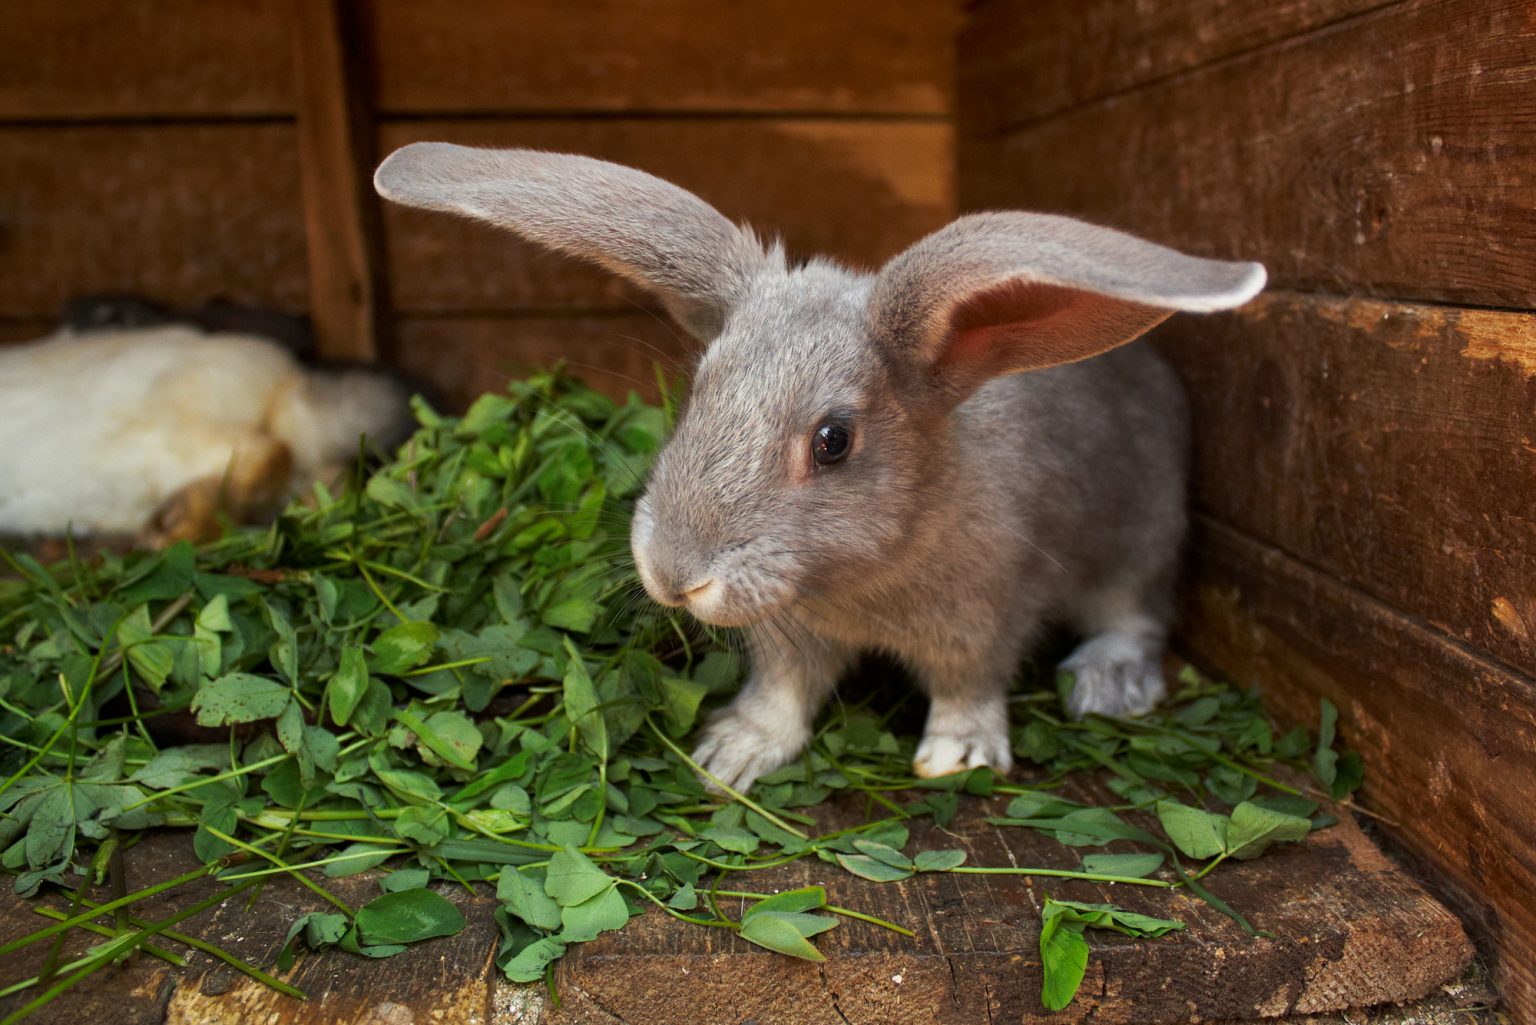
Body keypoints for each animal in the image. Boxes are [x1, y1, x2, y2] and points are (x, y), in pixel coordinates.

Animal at [375, 143, 1265, 789]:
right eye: (698, 389)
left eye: (833, 439)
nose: (673, 574)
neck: (861, 577)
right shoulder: (790, 638)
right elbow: (785, 694)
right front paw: (728, 755)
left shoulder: (985, 619)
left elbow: (969, 688)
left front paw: (956, 758)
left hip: (1141, 541)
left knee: (1138, 616)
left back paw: (1108, 683)